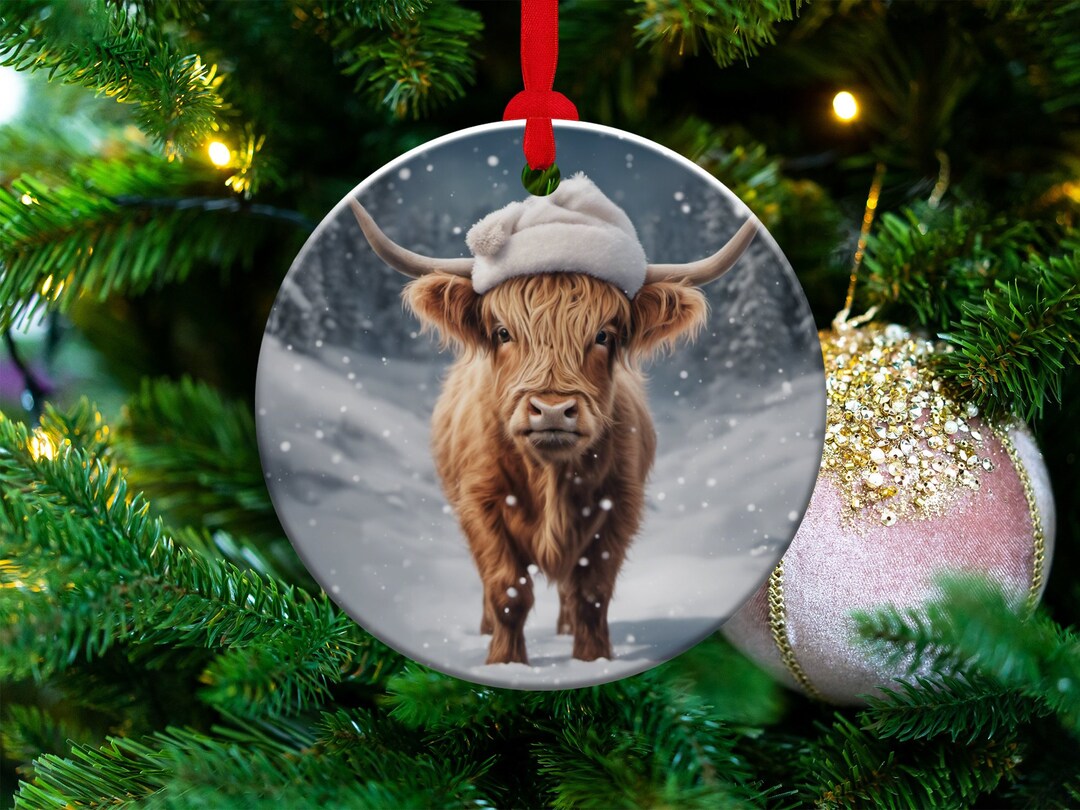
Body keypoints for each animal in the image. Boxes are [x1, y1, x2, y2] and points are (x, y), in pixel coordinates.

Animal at [349, 176, 757, 665]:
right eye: (503, 332)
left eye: (603, 335)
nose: (552, 410)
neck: (549, 476)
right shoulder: (480, 502)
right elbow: (507, 589)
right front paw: (505, 662)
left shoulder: (619, 506)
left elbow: (592, 592)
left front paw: (592, 660)